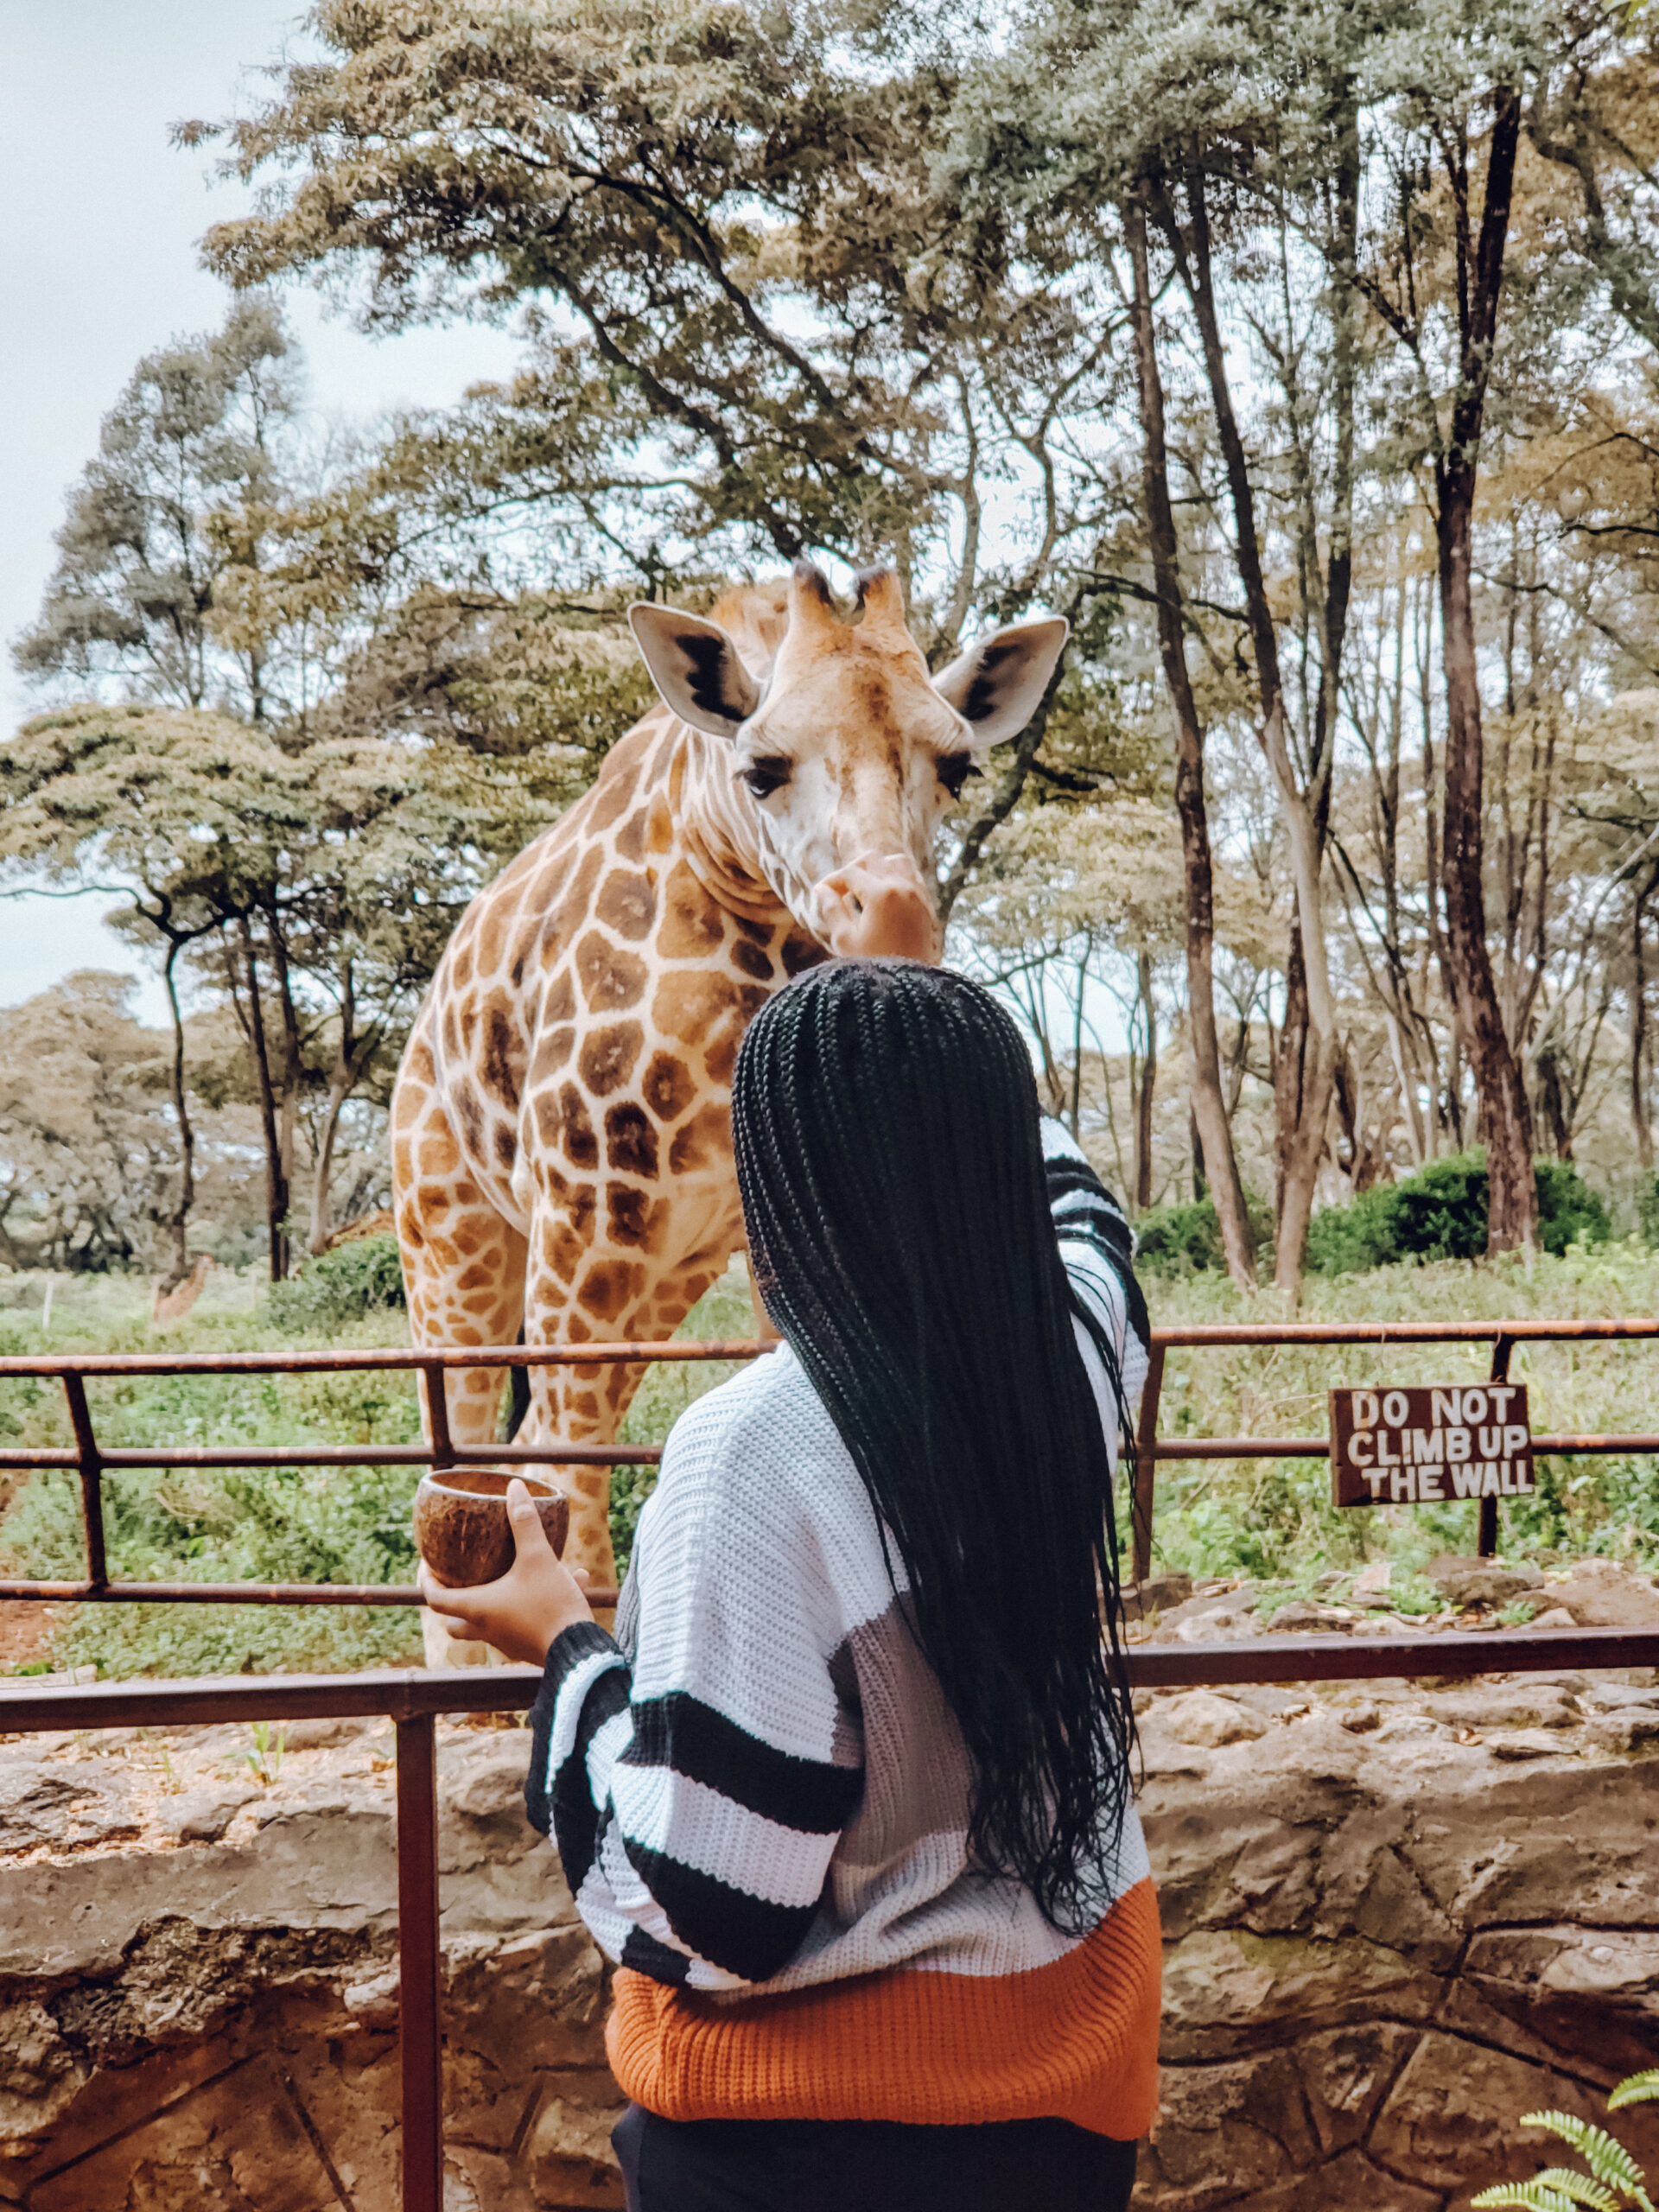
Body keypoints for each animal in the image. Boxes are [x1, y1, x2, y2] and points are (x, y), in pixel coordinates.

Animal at [391, 560, 1066, 1656]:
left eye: (958, 768)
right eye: (762, 769)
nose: (894, 913)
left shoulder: (744, 1227)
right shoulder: (584, 1210)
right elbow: (573, 1493)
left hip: (665, 1264)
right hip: (454, 1238)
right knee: (469, 1452)